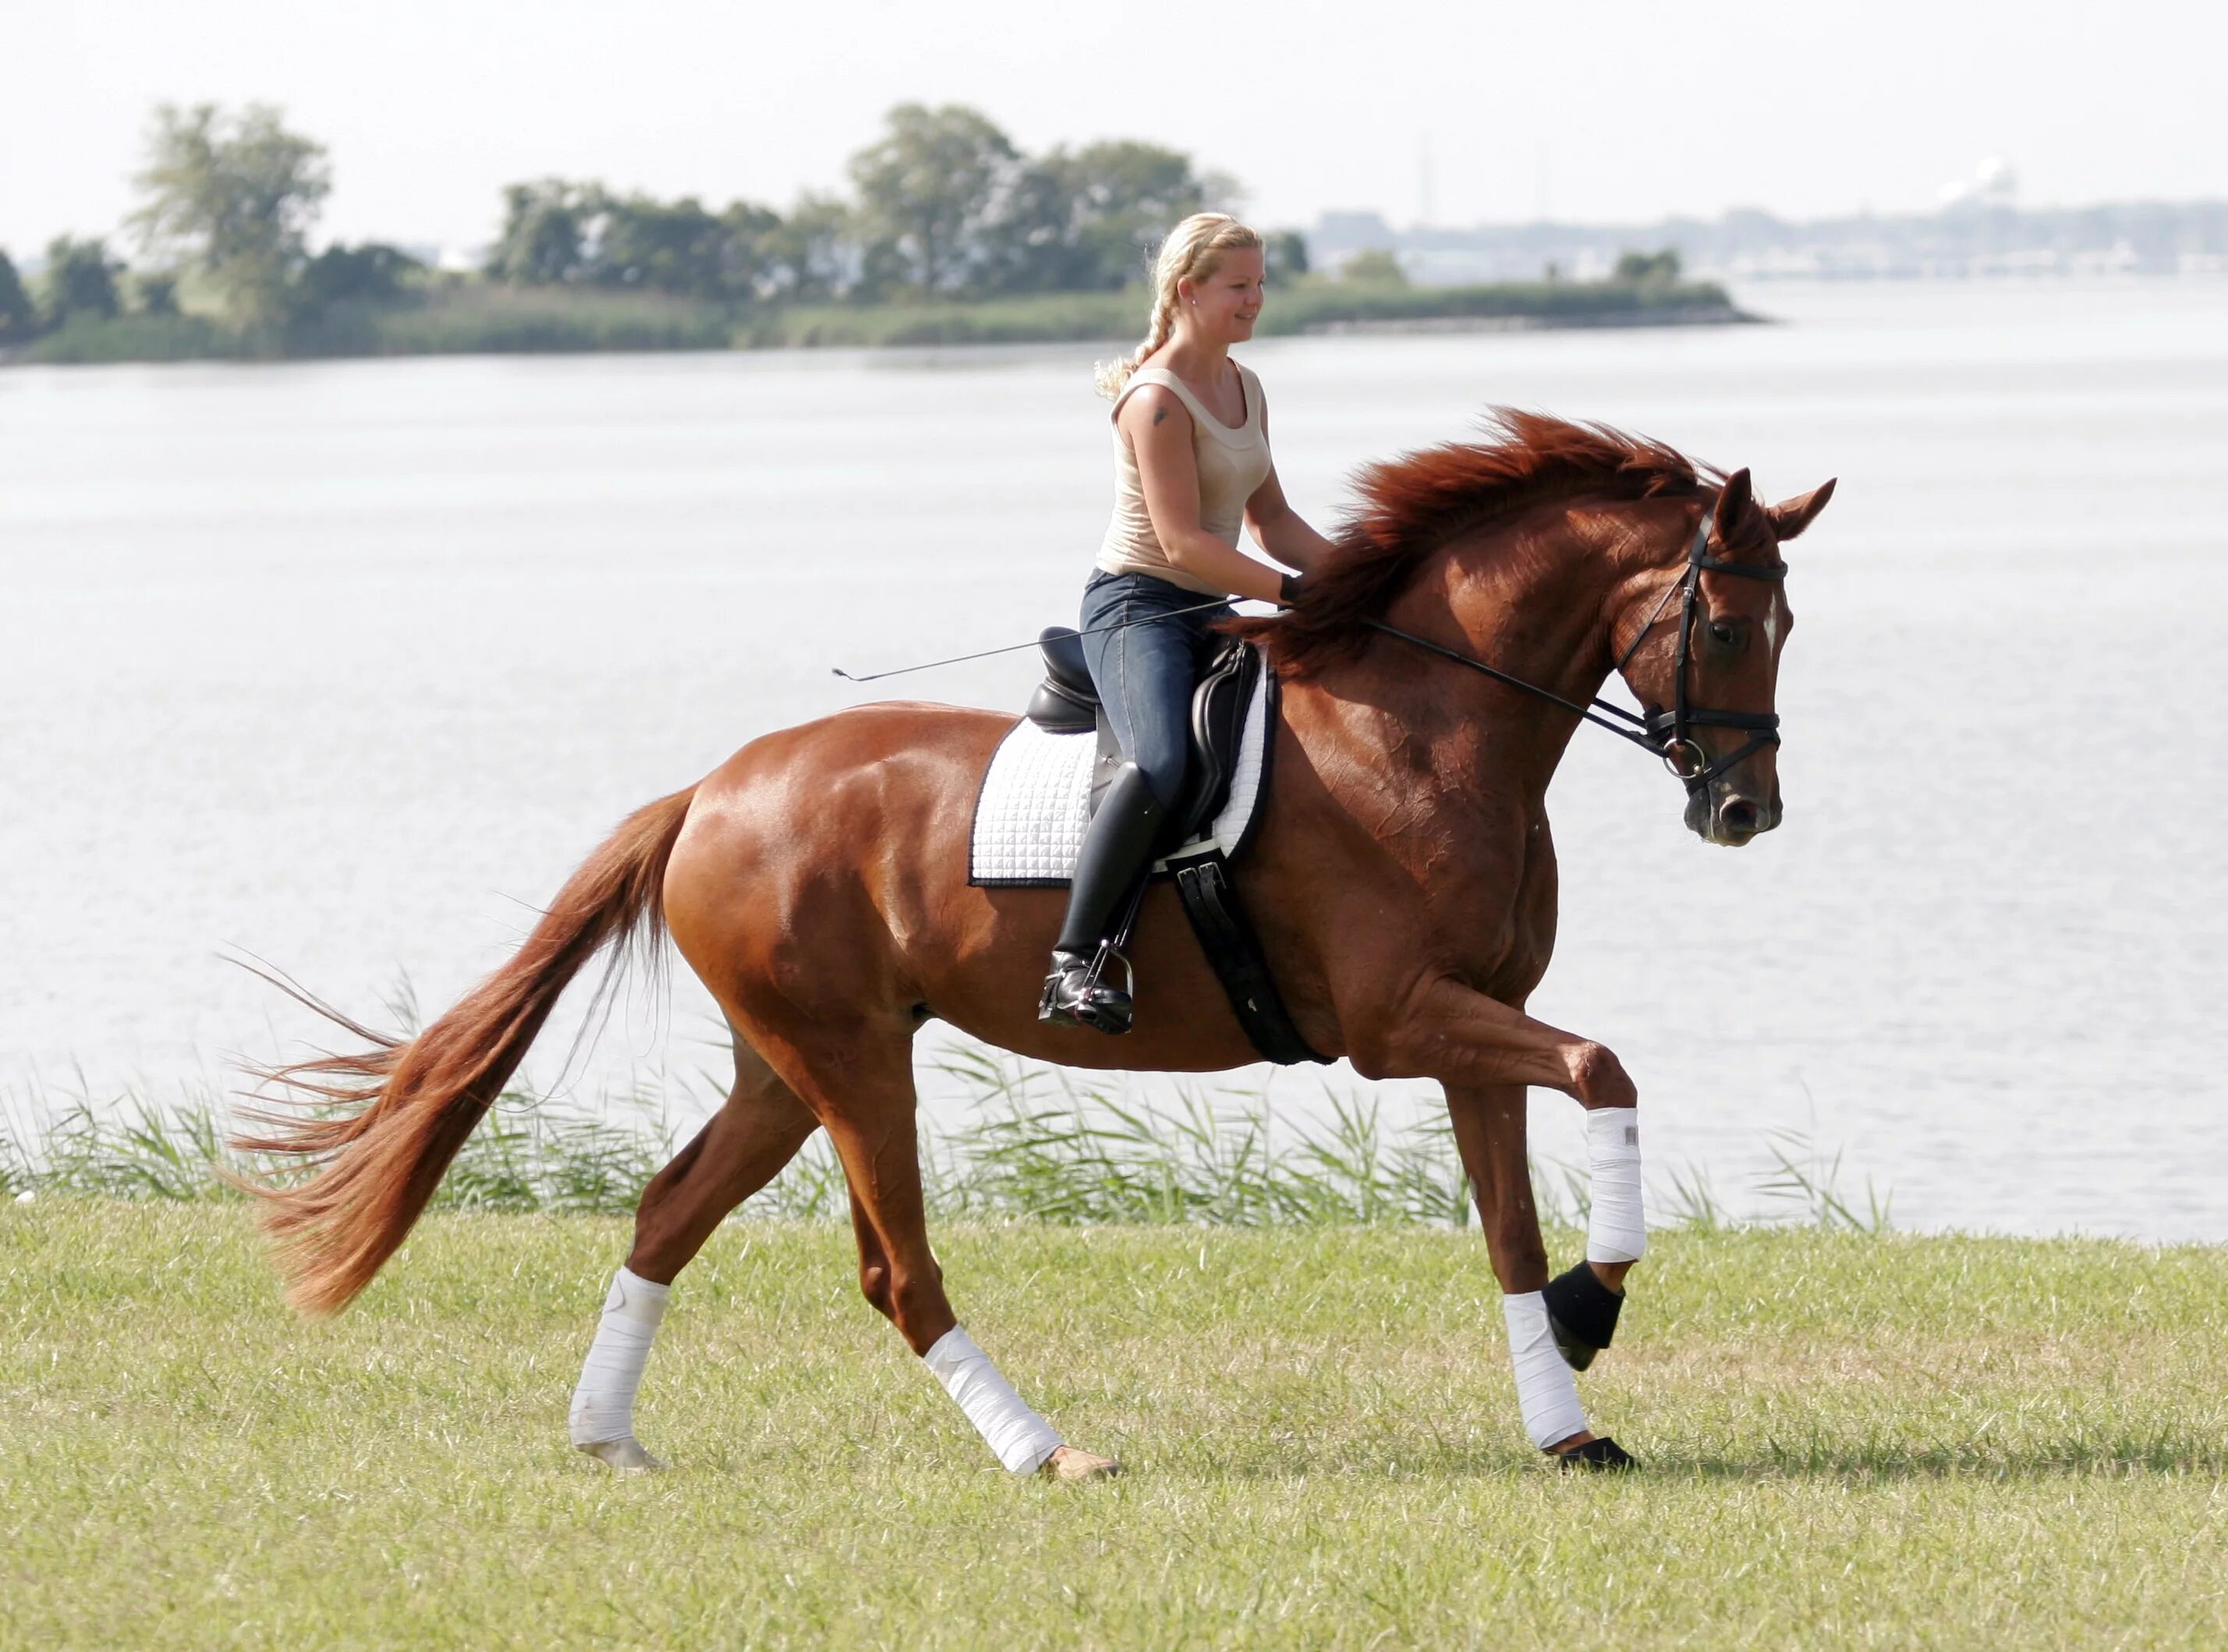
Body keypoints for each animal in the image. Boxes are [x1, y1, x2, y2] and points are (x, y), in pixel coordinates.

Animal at [239, 420, 1826, 1478]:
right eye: (1727, 624)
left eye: (1789, 622)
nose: (1745, 810)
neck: (1429, 728)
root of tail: (712, 788)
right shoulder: (1403, 1022)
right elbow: (1607, 1068)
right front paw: (1589, 1310)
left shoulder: (1475, 1022)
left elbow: (1511, 1222)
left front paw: (1567, 1403)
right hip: (851, 1060)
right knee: (895, 1271)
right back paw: (1044, 1449)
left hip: (786, 1063)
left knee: (667, 1208)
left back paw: (605, 1436)